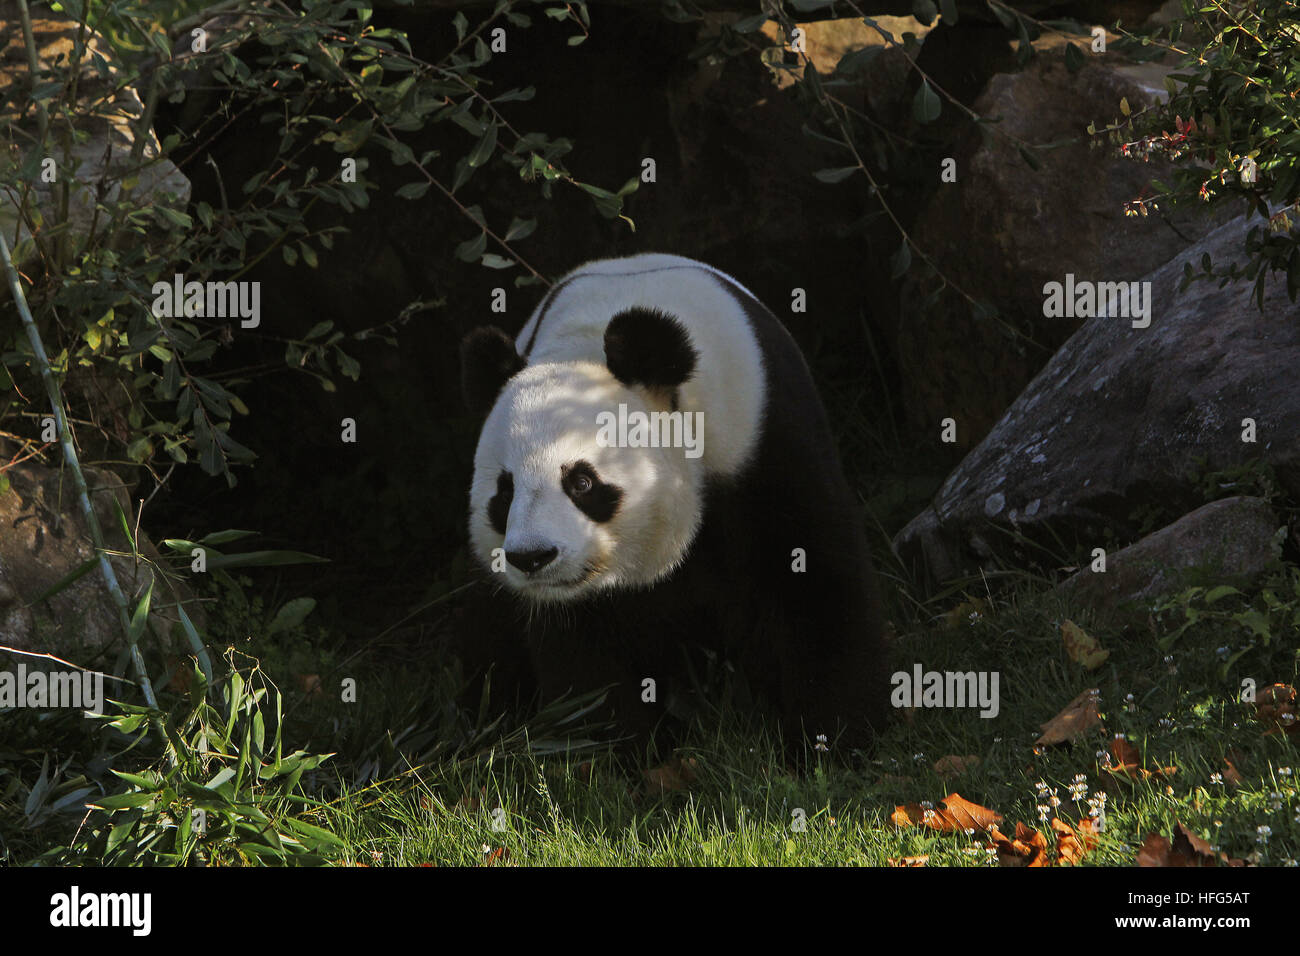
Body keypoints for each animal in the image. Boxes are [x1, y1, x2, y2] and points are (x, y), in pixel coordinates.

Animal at [460, 253, 888, 754]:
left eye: (582, 482)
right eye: (504, 492)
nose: (532, 557)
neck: (582, 345)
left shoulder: (762, 438)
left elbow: (814, 578)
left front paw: (831, 740)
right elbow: (582, 650)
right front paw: (626, 753)